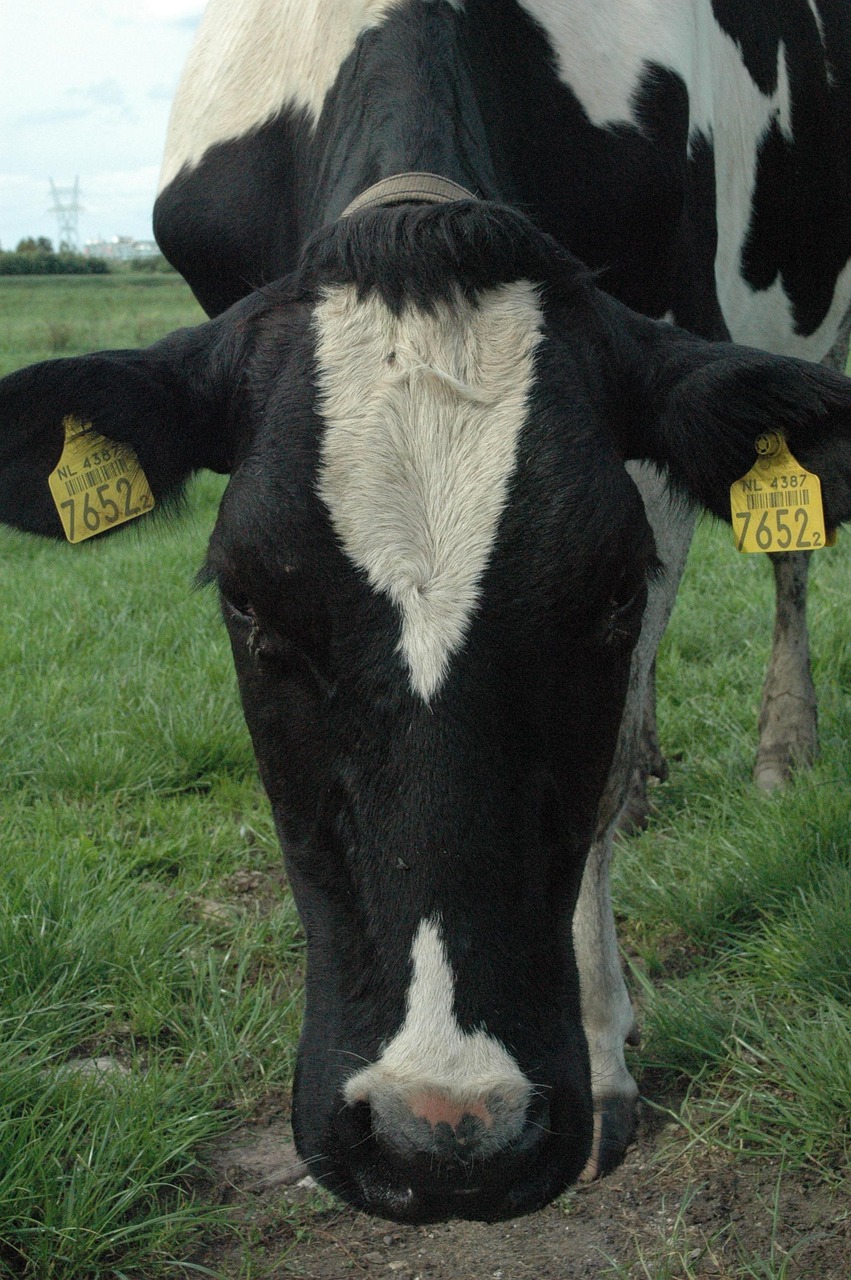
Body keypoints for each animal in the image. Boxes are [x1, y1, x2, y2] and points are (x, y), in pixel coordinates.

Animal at [1, 0, 850, 1225]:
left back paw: (782, 748)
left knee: (789, 544)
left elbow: (597, 771)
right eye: (248, 601)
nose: (442, 1135)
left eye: (611, 588)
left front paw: (602, 1047)